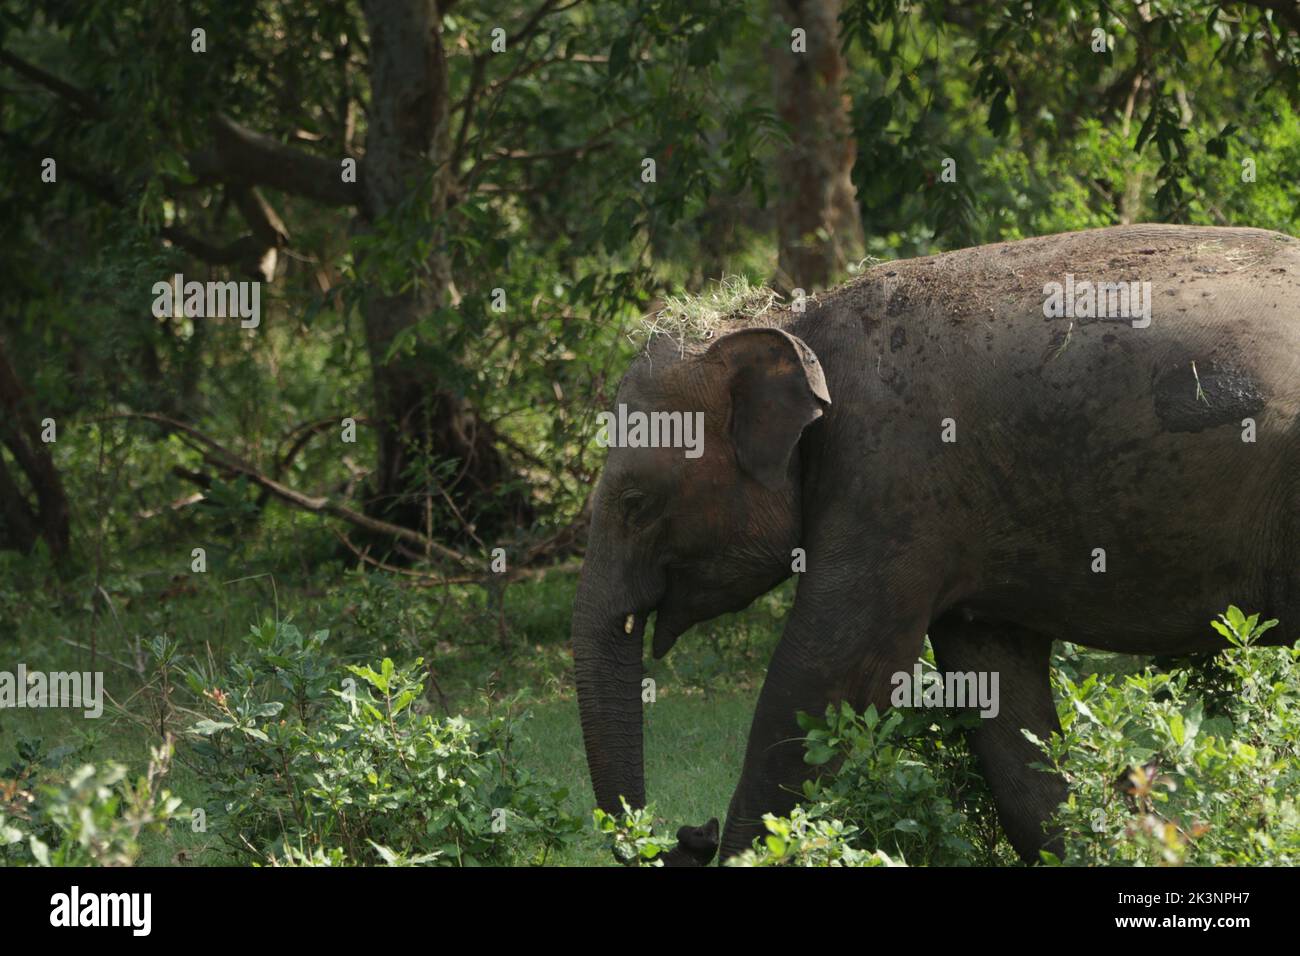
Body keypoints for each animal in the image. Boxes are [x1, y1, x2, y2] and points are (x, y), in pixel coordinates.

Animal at [570, 223, 1300, 864]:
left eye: (636, 504)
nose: (689, 832)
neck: (795, 324)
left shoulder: (892, 482)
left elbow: (828, 678)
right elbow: (998, 700)